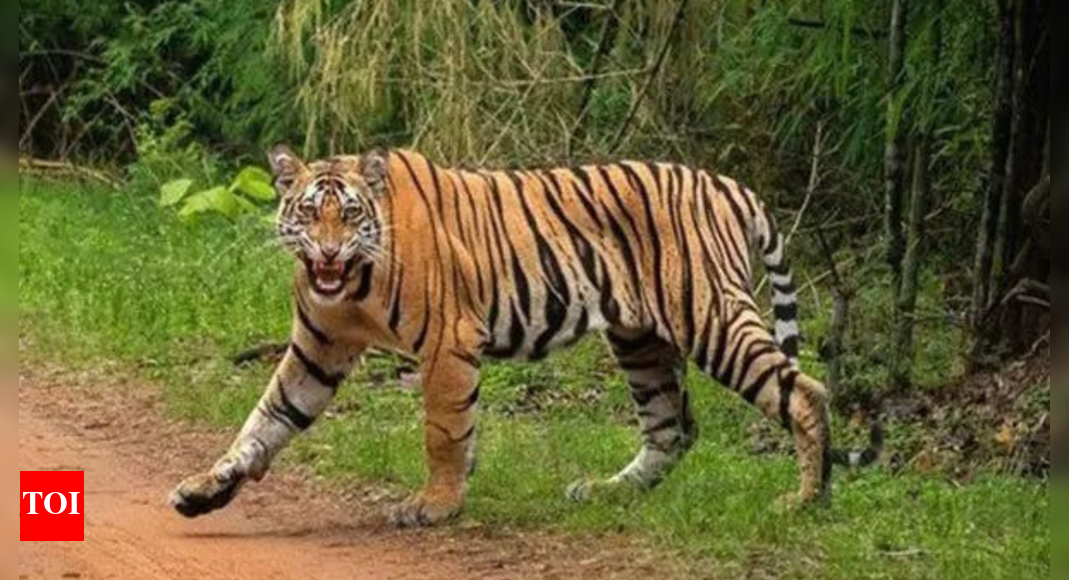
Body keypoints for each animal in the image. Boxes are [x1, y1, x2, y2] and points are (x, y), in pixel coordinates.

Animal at [170, 146, 882, 527]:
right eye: (306, 213)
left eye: (347, 215)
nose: (325, 252)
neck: (350, 286)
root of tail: (731, 185)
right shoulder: (317, 351)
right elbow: (264, 422)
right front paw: (205, 490)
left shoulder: (448, 342)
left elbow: (443, 430)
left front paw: (436, 505)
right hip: (640, 340)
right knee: (673, 427)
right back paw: (606, 492)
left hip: (711, 317)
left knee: (804, 392)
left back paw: (805, 500)